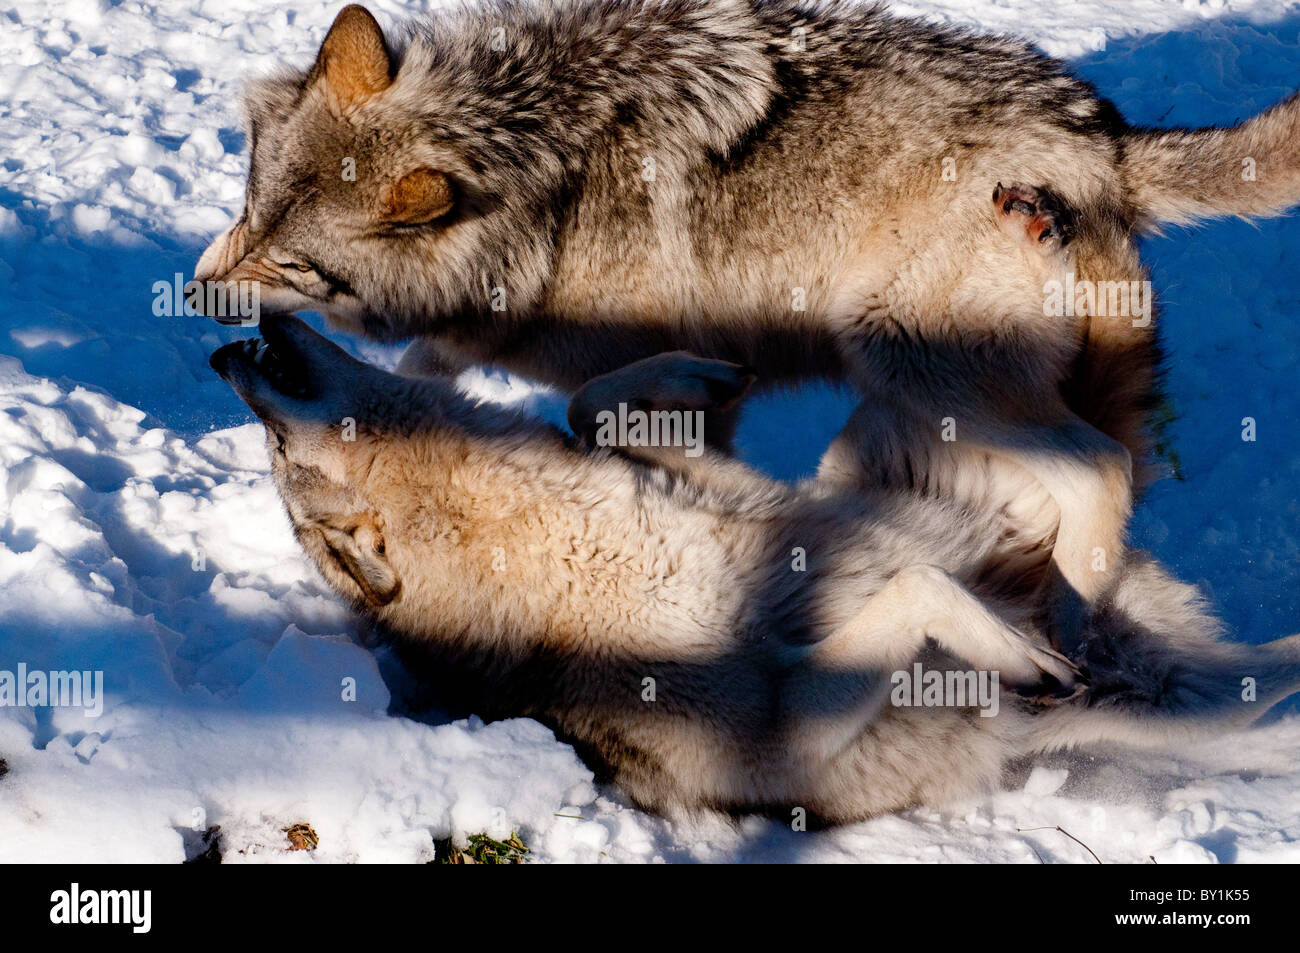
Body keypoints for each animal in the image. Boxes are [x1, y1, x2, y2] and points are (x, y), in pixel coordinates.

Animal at [192, 1, 1300, 619]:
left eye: (294, 261)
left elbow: (603, 406)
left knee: (1098, 469)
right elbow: (426, 368)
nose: (196, 294)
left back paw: (1082, 612)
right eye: (250, 204)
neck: (544, 185)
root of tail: (1107, 136)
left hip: (902, 352)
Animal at [210, 314, 1300, 824]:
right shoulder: (790, 734)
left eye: (272, 444)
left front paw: (694, 370)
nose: (223, 354)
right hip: (1144, 713)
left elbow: (589, 404)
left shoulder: (691, 472)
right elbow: (915, 589)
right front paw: (1004, 643)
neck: (556, 536)